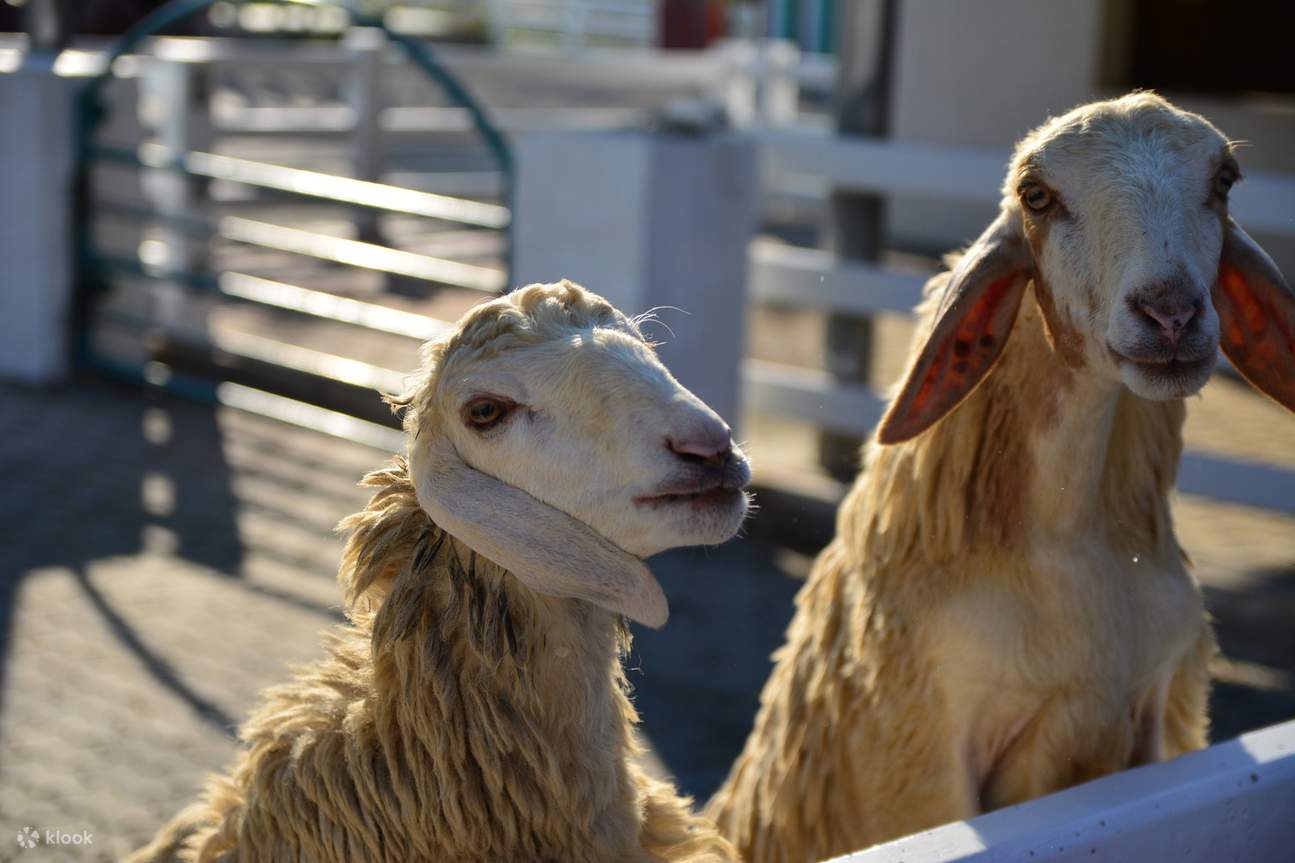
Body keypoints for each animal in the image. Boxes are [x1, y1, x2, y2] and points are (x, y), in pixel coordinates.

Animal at [706, 93, 1295, 863]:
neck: (1072, 554)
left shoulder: (1159, 714)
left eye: (1223, 181)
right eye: (1036, 196)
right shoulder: (925, 753)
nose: (1170, 313)